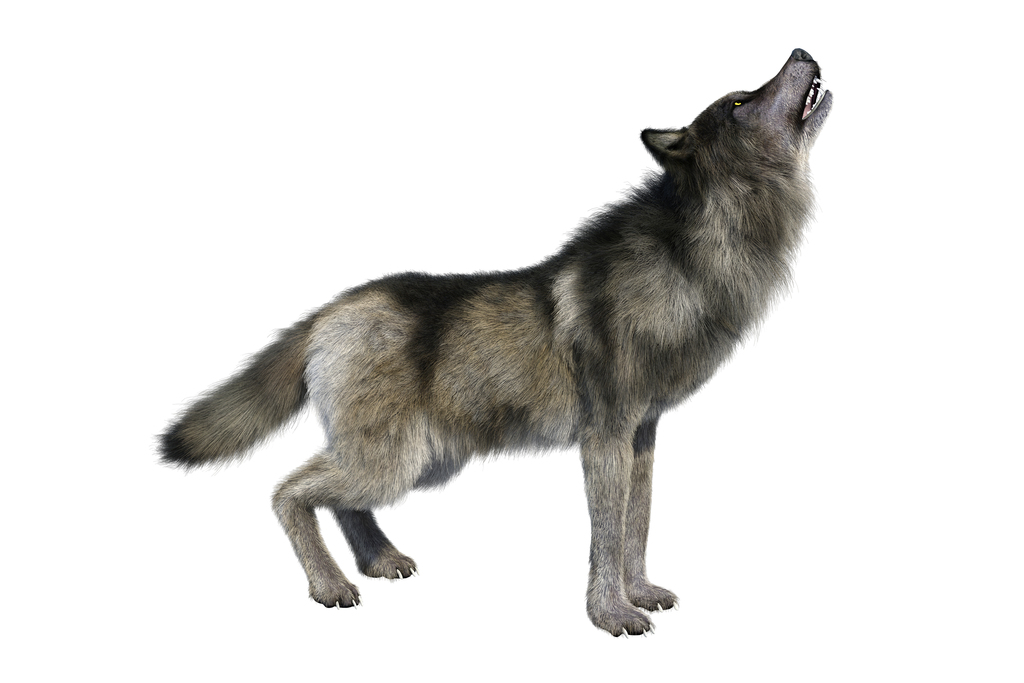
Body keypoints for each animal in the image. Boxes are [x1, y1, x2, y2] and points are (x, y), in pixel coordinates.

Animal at [160, 48, 831, 636]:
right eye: (741, 101)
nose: (801, 51)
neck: (696, 249)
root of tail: (329, 311)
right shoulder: (605, 438)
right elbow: (607, 537)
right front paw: (611, 616)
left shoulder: (642, 435)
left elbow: (636, 527)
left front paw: (639, 594)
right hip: (396, 463)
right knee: (287, 492)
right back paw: (330, 586)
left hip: (418, 462)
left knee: (337, 500)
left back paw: (380, 563)